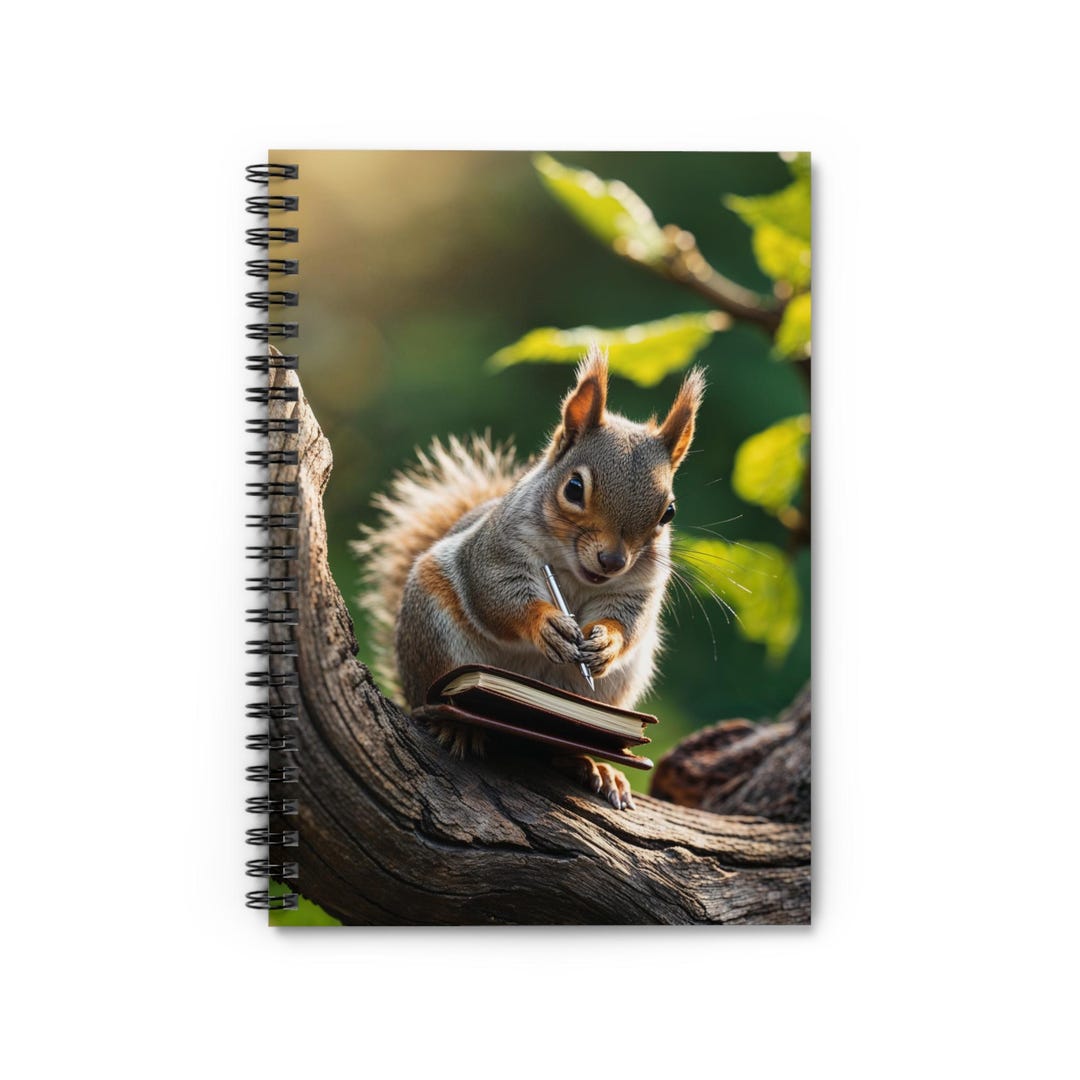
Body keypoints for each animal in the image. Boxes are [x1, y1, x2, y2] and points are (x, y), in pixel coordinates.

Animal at [353, 345, 705, 810]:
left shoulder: (638, 587)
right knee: (436, 701)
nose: (612, 560)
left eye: (669, 512)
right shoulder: (497, 554)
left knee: (564, 741)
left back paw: (593, 764)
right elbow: (499, 594)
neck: (576, 575)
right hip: (436, 641)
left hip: (610, 689)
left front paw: (606, 642)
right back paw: (459, 724)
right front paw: (547, 624)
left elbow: (627, 622)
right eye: (573, 488)